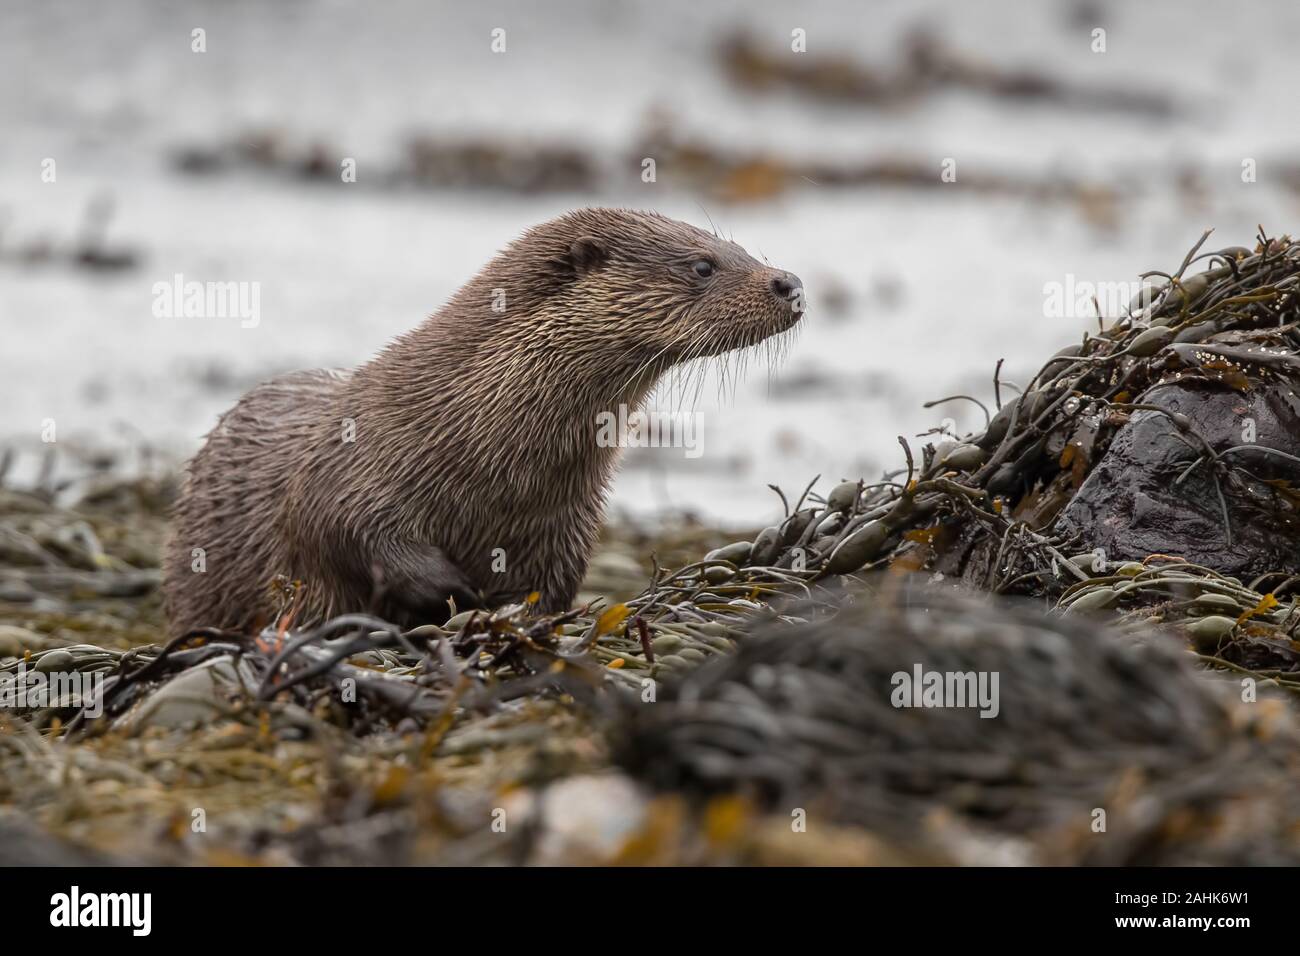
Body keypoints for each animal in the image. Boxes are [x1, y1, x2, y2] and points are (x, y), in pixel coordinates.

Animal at [163, 208, 804, 635]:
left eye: (742, 247)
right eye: (703, 265)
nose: (790, 282)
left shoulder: (564, 523)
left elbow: (552, 586)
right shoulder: (346, 476)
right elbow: (349, 534)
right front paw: (457, 595)